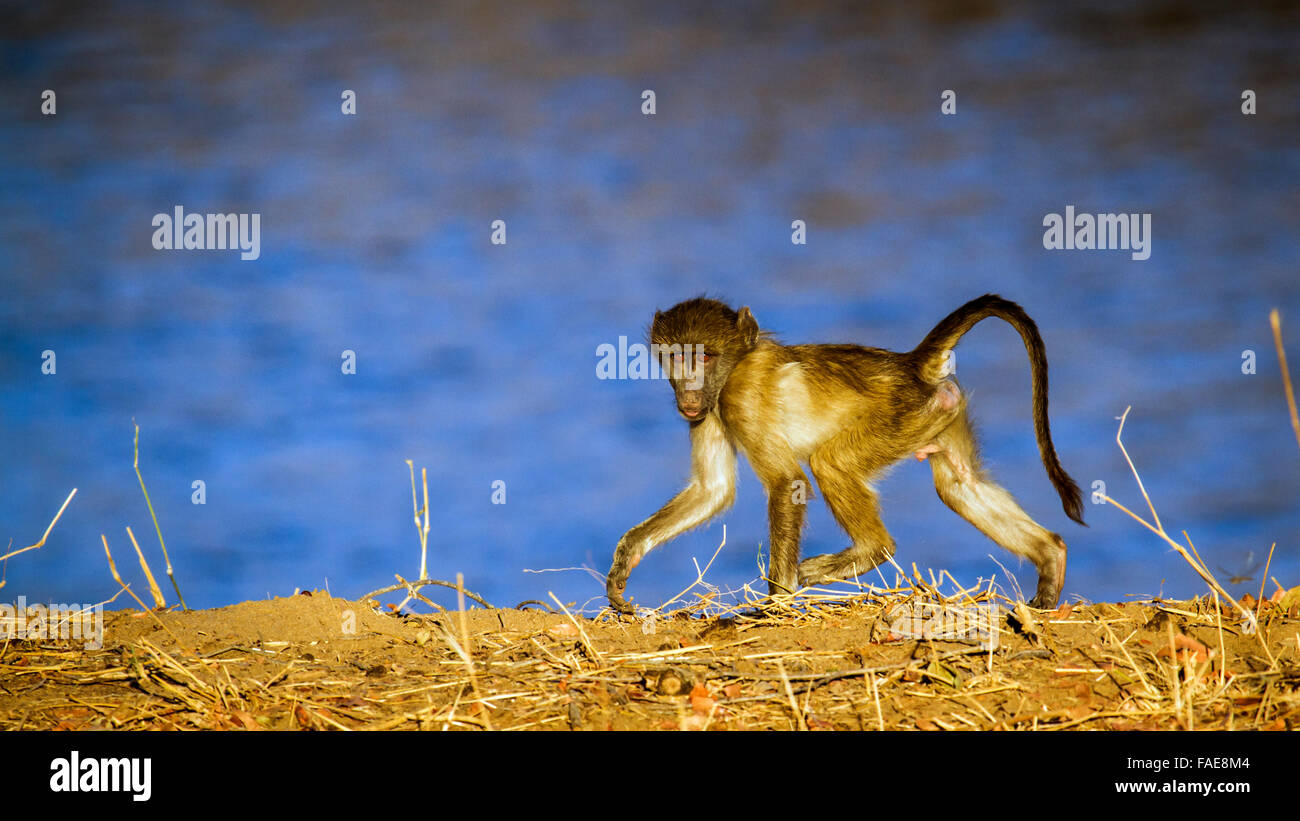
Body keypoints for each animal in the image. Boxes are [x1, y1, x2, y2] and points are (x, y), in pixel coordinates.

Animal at [605, 294, 1084, 615]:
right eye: (674, 358)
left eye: (703, 356)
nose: (688, 395)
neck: (736, 365)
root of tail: (910, 364)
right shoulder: (707, 412)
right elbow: (713, 490)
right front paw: (624, 562)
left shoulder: (739, 396)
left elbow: (788, 484)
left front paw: (775, 605)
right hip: (938, 413)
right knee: (958, 485)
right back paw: (1051, 559)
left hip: (901, 415)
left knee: (829, 465)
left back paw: (869, 552)